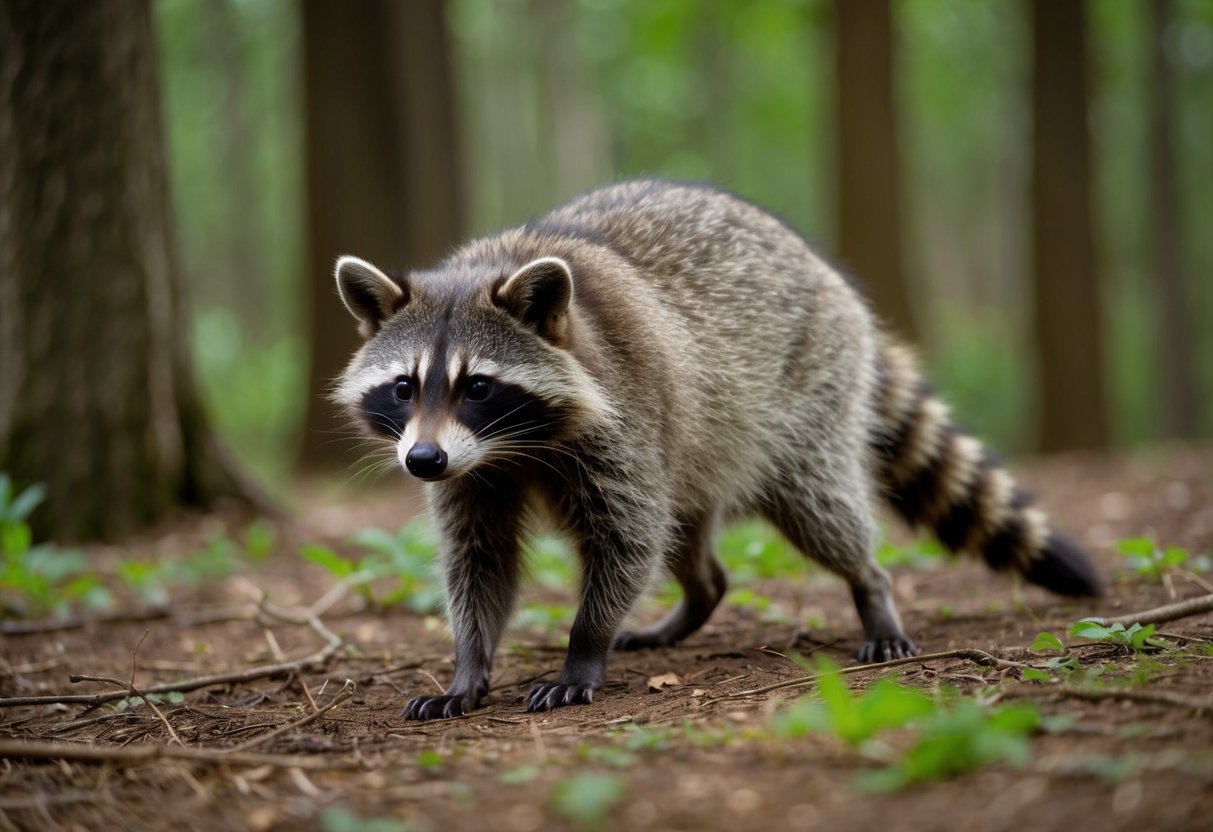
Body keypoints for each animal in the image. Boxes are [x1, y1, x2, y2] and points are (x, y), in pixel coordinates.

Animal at [332, 180, 1101, 721]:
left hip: (803, 396)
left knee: (819, 512)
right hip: (698, 450)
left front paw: (583, 648)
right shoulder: (473, 474)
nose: (422, 463)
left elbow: (625, 541)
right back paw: (699, 595)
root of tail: (825, 270)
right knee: (687, 541)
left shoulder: (624, 416)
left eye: (478, 387)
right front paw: (468, 663)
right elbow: (479, 558)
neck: (508, 447)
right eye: (404, 387)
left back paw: (870, 587)